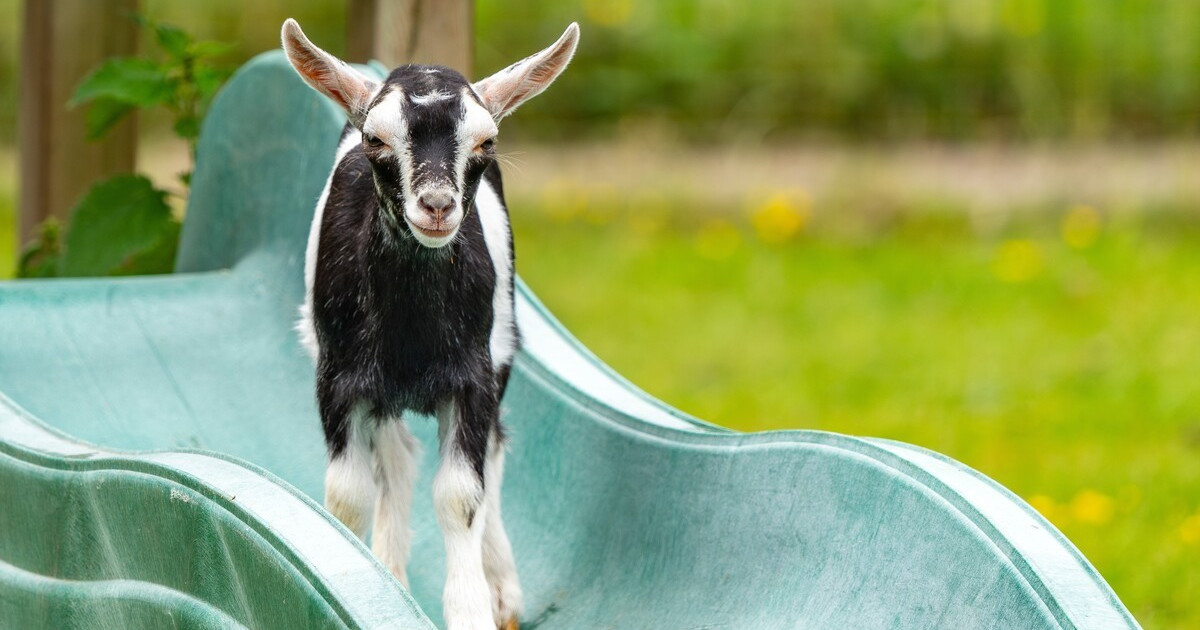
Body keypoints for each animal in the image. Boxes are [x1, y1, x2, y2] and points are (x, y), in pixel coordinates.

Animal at [281, 19, 579, 630]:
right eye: (375, 139)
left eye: (486, 142)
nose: (437, 205)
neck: (411, 336)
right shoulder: (339, 381)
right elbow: (347, 493)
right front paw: (370, 581)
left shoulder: (472, 380)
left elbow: (461, 495)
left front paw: (473, 609)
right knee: (396, 458)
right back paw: (392, 574)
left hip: (502, 351)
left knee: (491, 454)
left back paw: (503, 590)